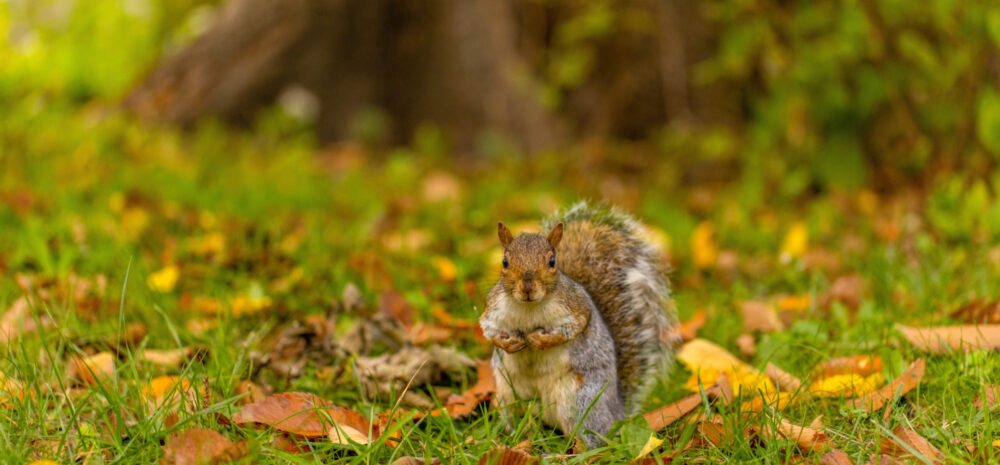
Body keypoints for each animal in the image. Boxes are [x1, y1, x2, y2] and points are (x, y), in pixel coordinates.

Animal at [479, 202, 677, 447]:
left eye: (552, 262)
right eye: (505, 262)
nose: (527, 287)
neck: (528, 308)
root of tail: (615, 413)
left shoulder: (577, 308)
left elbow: (574, 329)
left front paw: (541, 339)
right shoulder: (492, 311)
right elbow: (489, 330)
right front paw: (509, 344)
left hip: (581, 402)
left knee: (590, 438)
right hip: (509, 397)